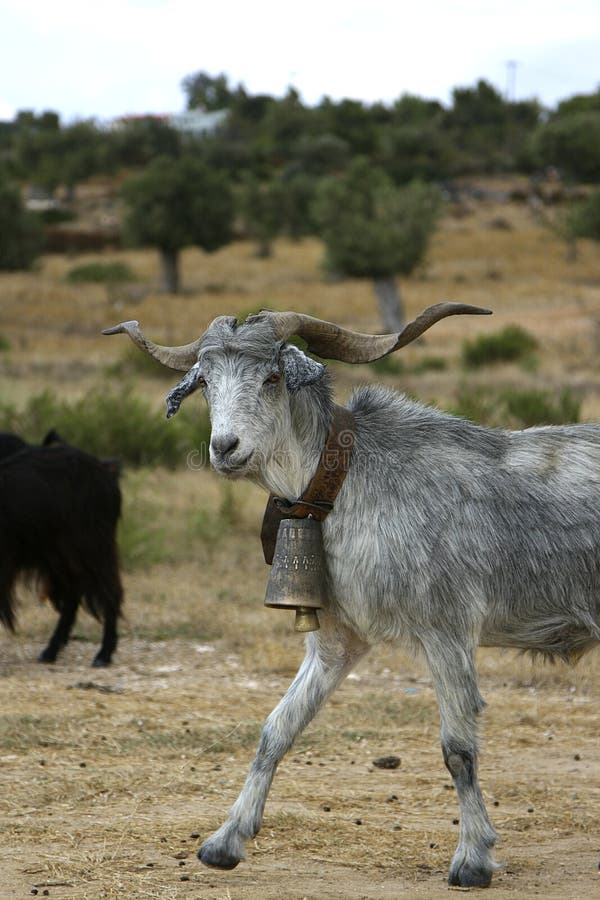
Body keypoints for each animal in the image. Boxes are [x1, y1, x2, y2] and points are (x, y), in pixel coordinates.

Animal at [0, 431, 123, 666]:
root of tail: (104, 470)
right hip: (58, 554)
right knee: (73, 594)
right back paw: (50, 652)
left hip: (91, 546)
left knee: (109, 592)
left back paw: (103, 655)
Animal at [104, 304, 600, 887]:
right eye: (206, 382)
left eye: (272, 377)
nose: (225, 448)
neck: (349, 482)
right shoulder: (337, 641)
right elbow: (278, 728)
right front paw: (224, 841)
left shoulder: (447, 629)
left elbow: (458, 748)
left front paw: (473, 858)